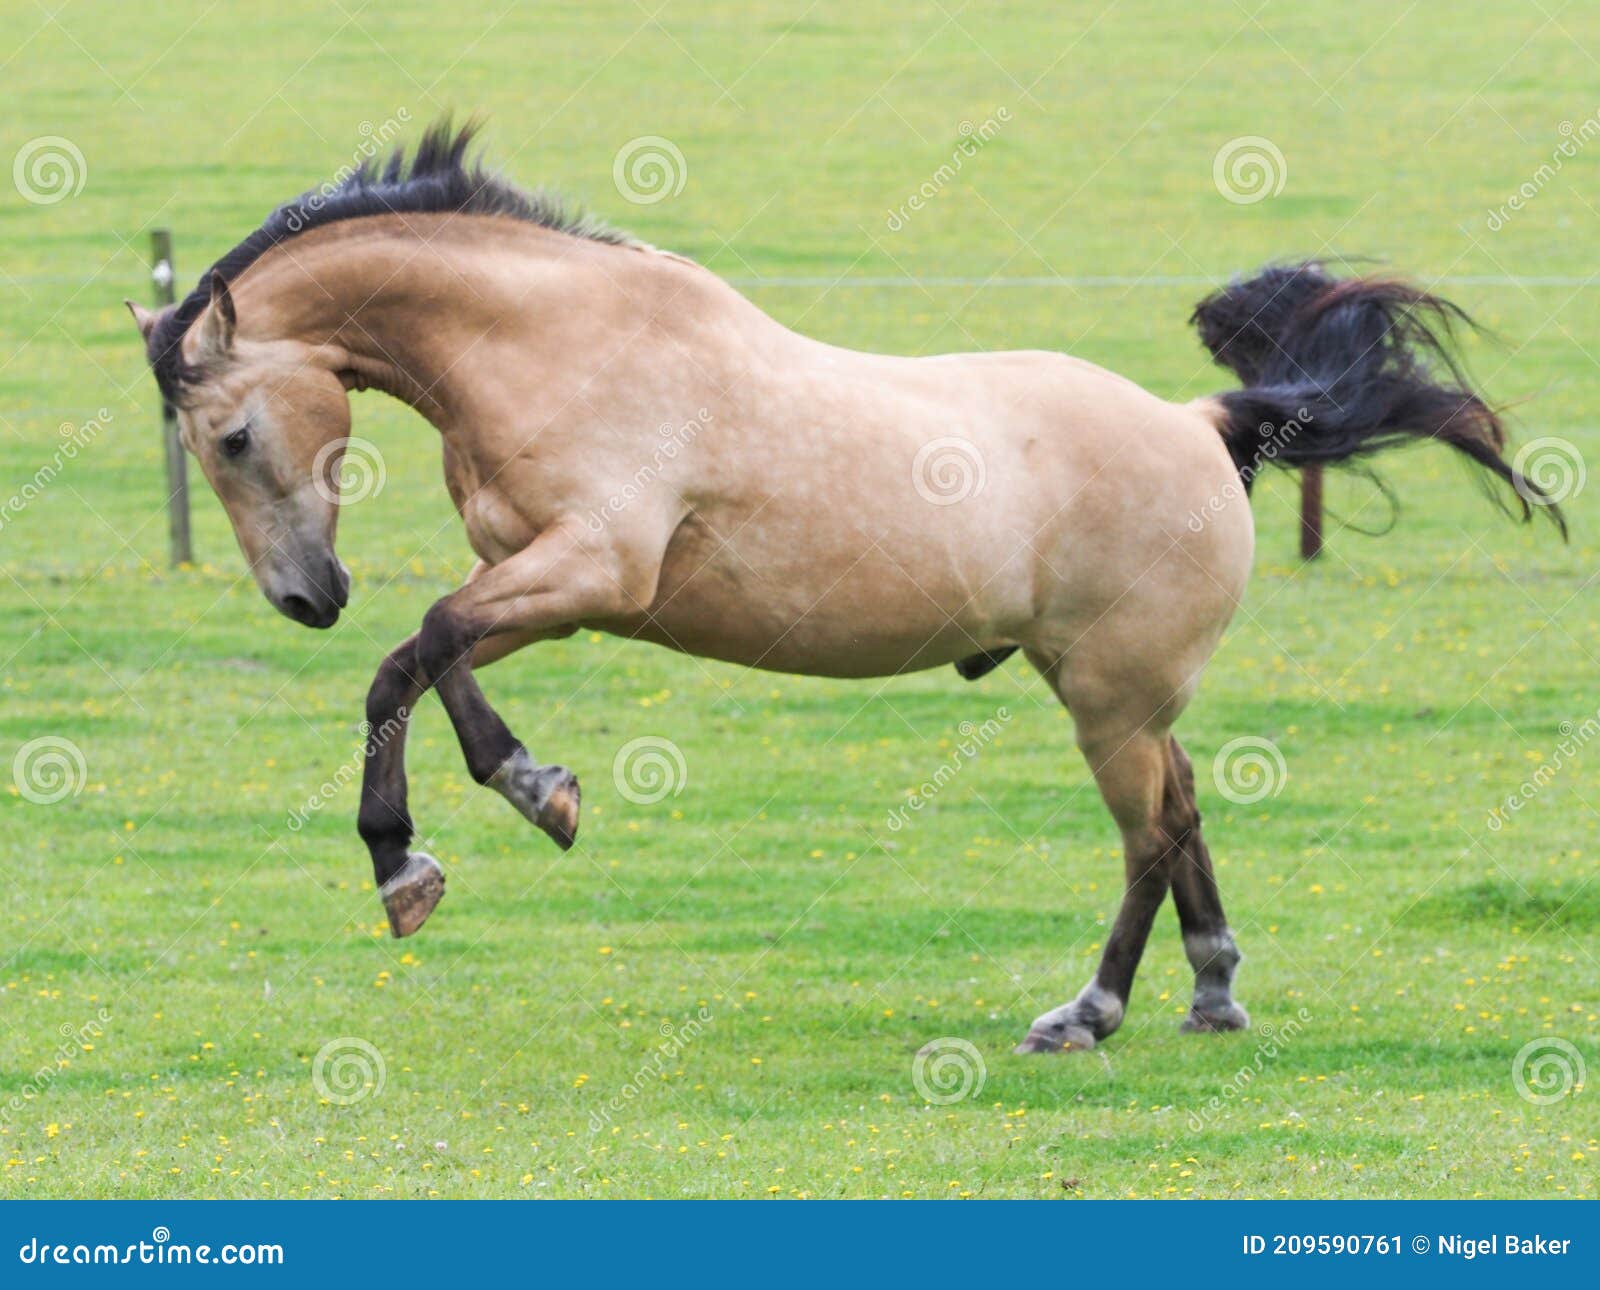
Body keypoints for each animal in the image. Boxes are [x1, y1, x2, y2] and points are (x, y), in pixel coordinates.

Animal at [128, 121, 1560, 1054]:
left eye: (233, 438)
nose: (307, 597)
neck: (558, 341)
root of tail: (1204, 421)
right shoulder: (554, 580)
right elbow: (443, 661)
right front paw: (534, 791)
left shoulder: (592, 565)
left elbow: (411, 653)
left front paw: (406, 862)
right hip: (1118, 694)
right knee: (1189, 809)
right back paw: (1210, 995)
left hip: (1108, 701)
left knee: (1150, 834)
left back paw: (1087, 1015)